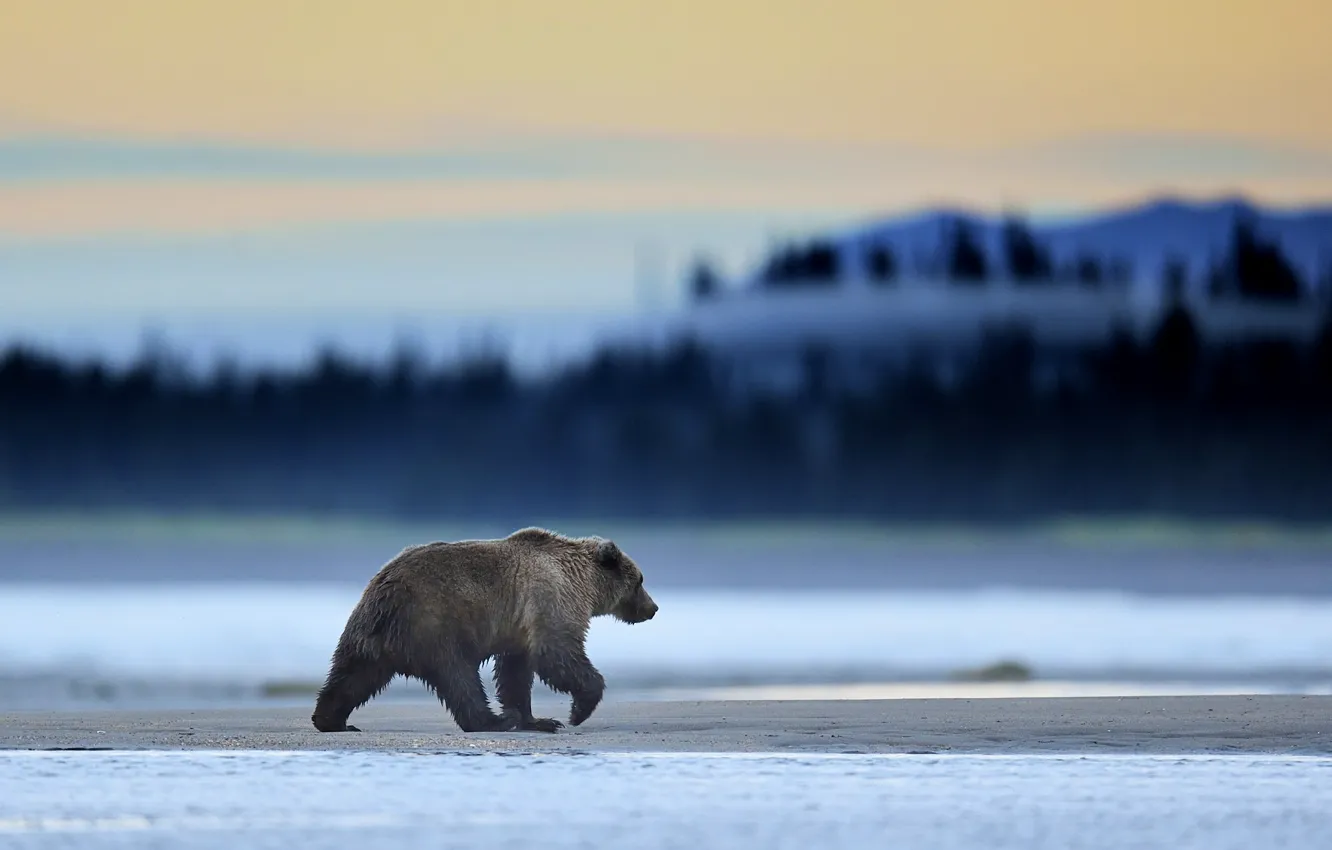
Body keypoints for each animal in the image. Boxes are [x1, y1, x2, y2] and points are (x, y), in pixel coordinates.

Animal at [310, 527, 658, 734]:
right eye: (640, 580)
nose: (653, 608)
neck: (581, 581)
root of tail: (385, 591)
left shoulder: (519, 628)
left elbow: (516, 672)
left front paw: (539, 719)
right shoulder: (550, 596)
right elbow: (556, 653)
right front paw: (576, 711)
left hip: (368, 634)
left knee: (352, 676)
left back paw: (332, 720)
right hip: (435, 624)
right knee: (459, 677)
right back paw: (494, 720)